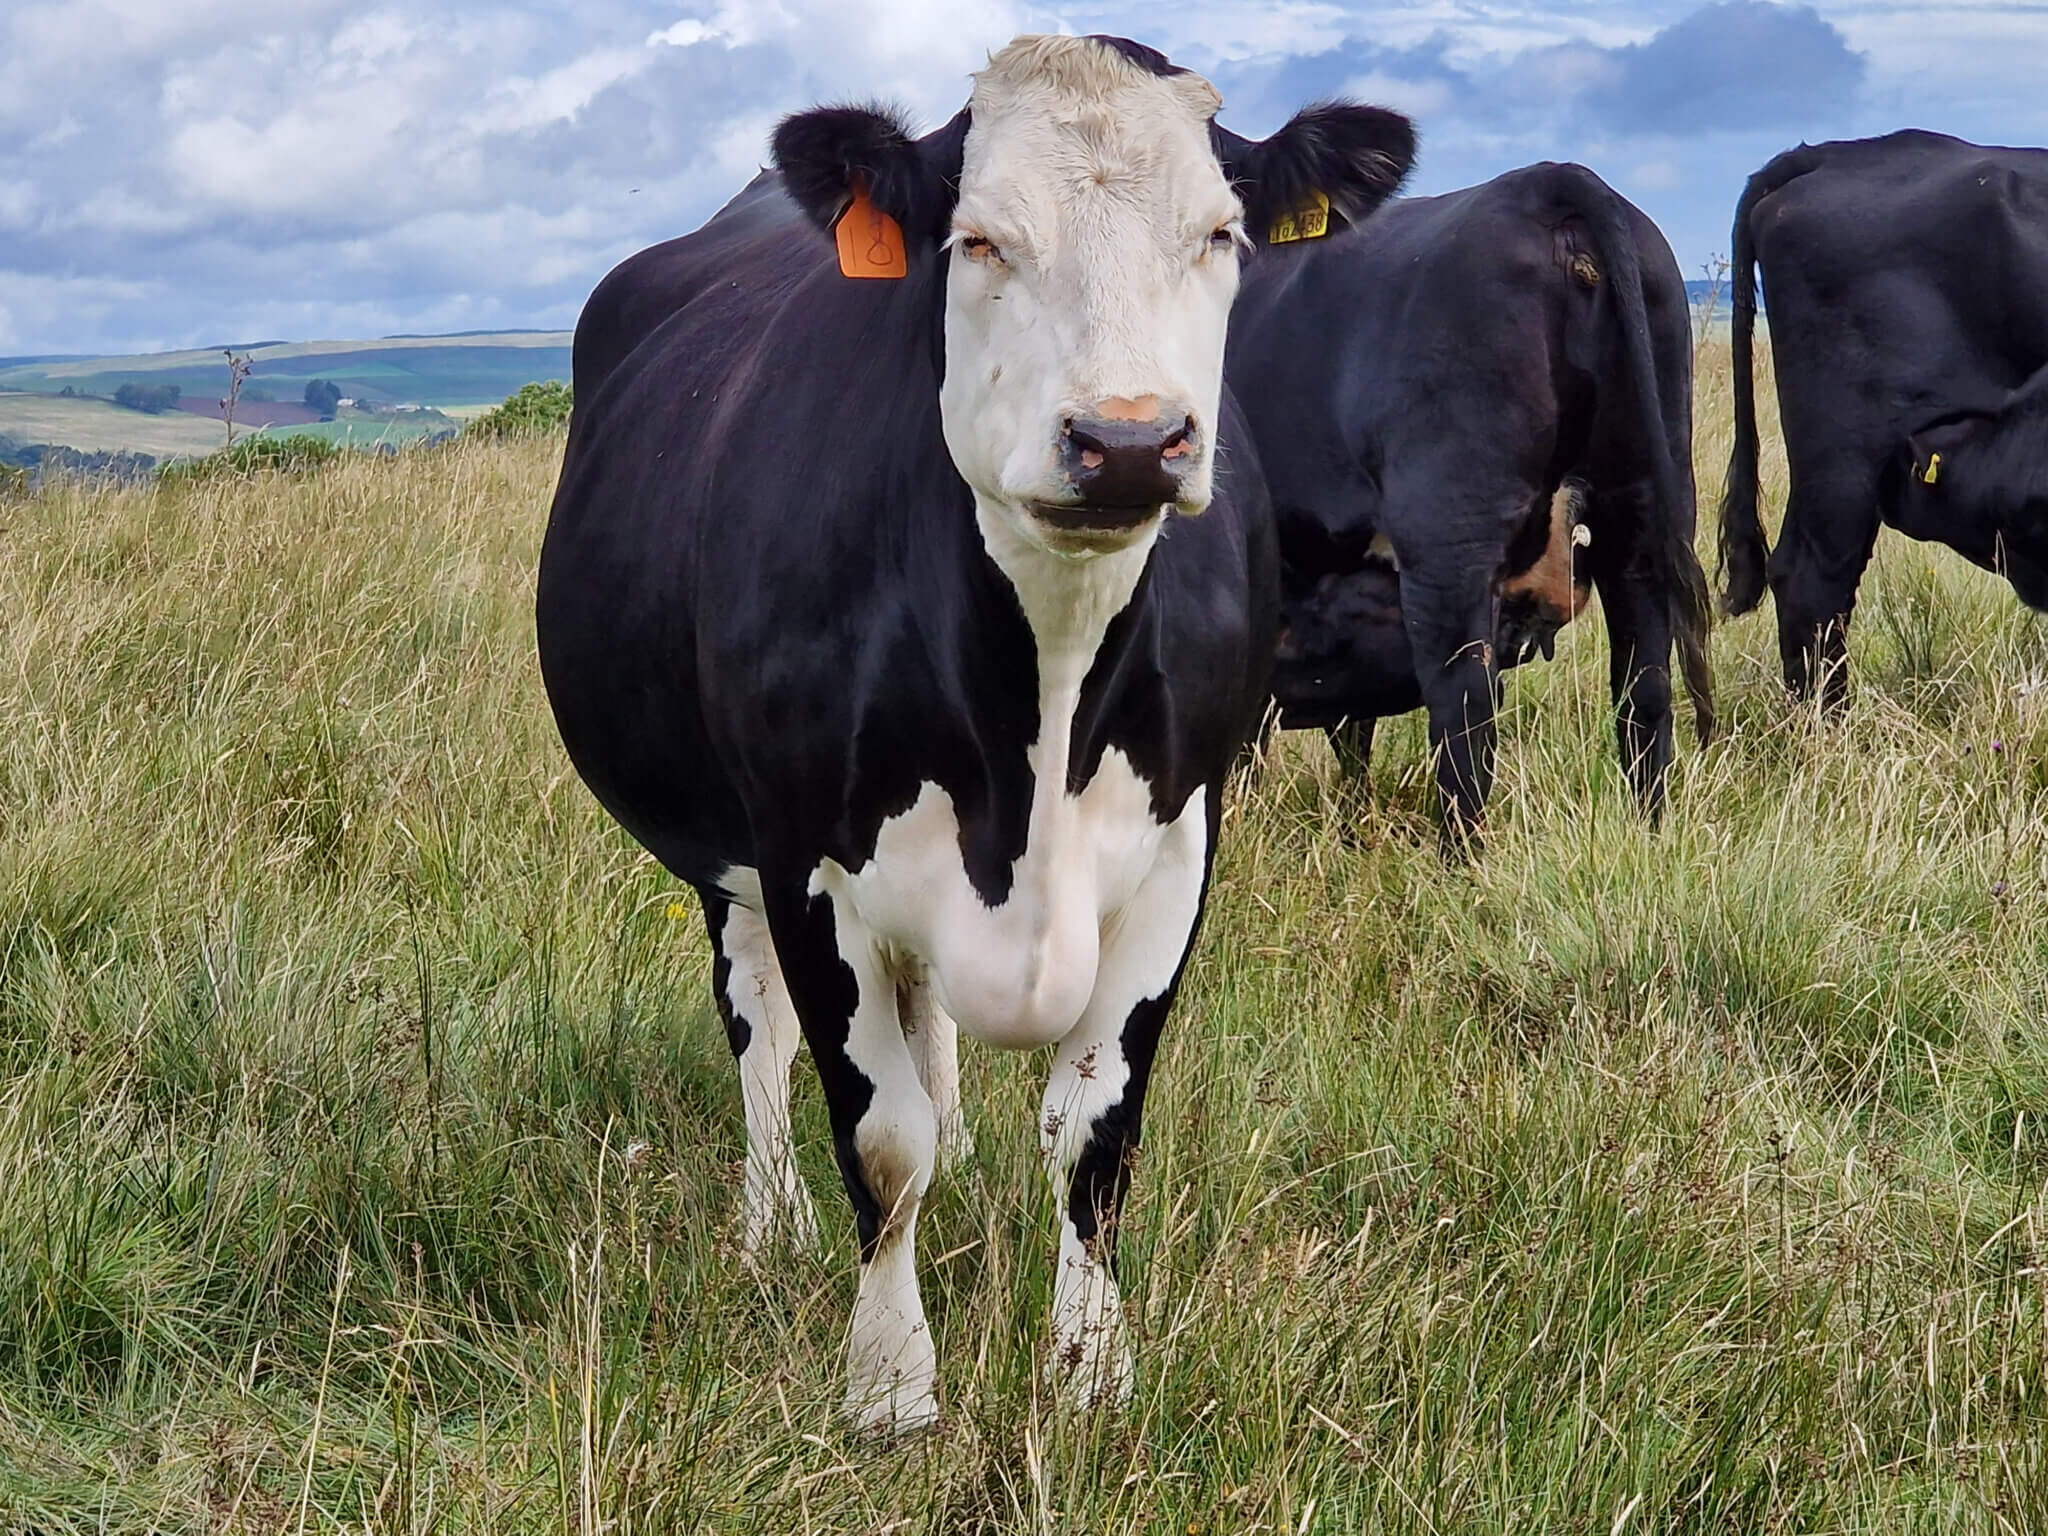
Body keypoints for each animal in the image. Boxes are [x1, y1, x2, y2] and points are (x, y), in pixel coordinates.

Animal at [535, 34, 1414, 1432]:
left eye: (1218, 233)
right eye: (979, 240)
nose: (1126, 442)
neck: (1033, 728)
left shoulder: (1179, 847)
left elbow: (1091, 1129)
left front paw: (1091, 1368)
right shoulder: (804, 855)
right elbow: (878, 1138)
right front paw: (890, 1385)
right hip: (725, 856)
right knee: (758, 1027)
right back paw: (772, 1229)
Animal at [1227, 163, 1714, 842]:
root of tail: (1548, 182)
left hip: (1451, 542)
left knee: (1464, 707)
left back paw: (1459, 855)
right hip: (1642, 512)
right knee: (1644, 690)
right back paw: (1648, 832)